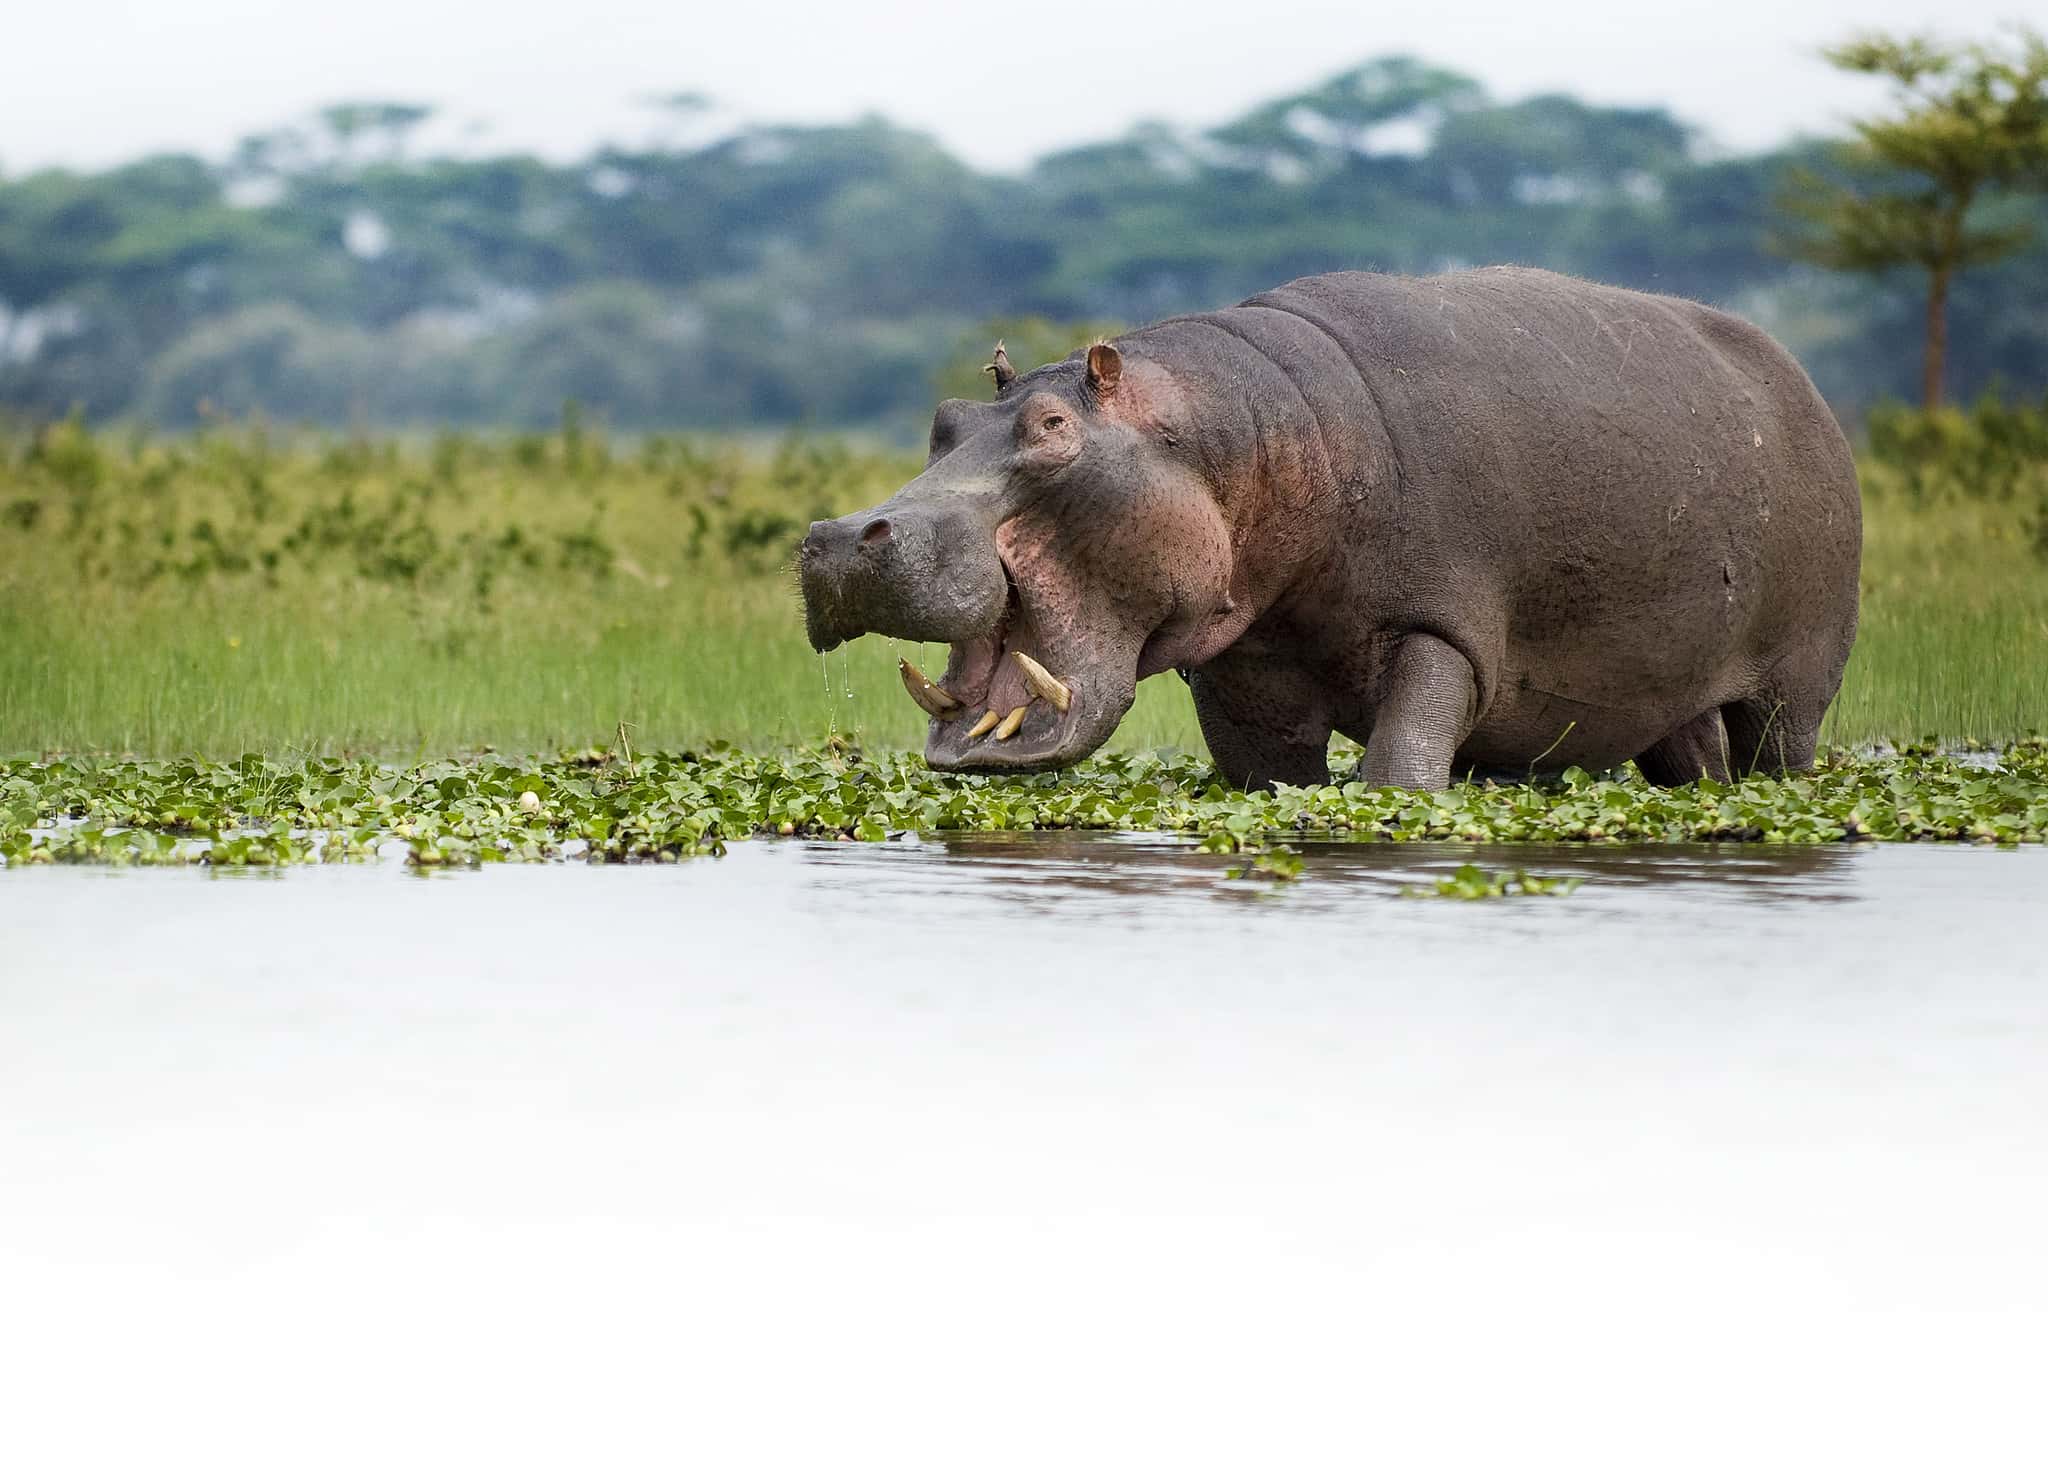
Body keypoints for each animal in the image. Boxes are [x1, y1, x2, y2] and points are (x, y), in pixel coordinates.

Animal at [798, 266, 1862, 790]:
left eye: (1053, 427)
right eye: (944, 420)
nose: (839, 537)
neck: (1236, 431)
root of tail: (1804, 379)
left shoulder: (1445, 627)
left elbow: (1399, 770)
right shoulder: (1246, 663)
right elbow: (1270, 779)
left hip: (1797, 682)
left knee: (1781, 757)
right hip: (1663, 693)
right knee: (1692, 759)